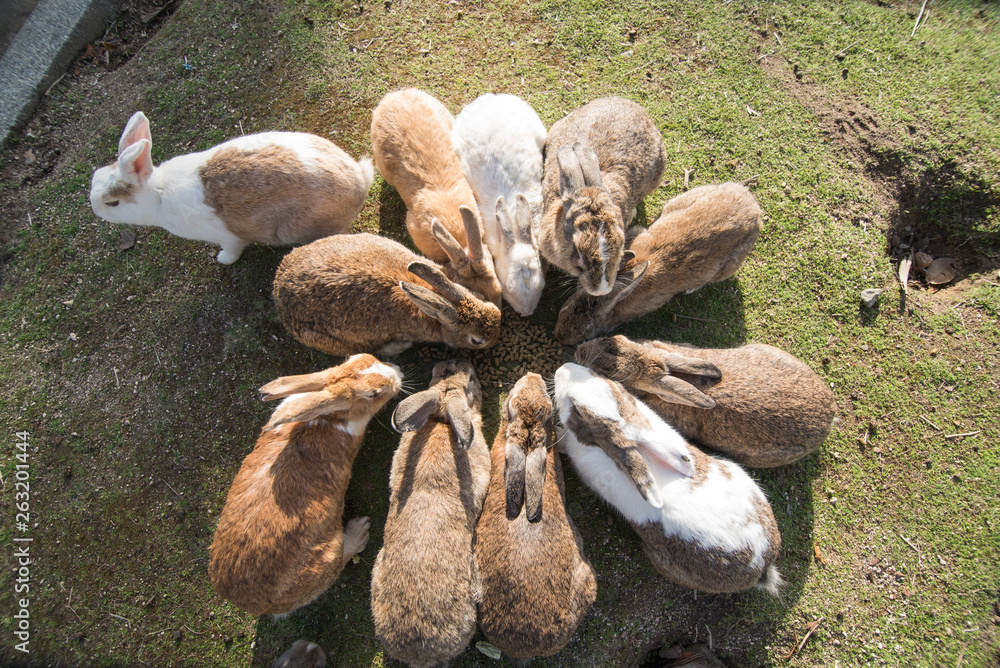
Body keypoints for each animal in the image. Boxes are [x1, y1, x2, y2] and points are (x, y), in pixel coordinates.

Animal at [89, 111, 373, 264]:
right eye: (95, 176)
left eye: (112, 203)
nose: (94, 209)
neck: (159, 195)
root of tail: (360, 180)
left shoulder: (228, 237)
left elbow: (233, 249)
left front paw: (222, 260)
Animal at [208, 355, 402, 616]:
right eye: (374, 393)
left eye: (360, 357)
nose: (398, 372)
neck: (325, 418)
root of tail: (250, 604)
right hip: (328, 556)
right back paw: (359, 530)